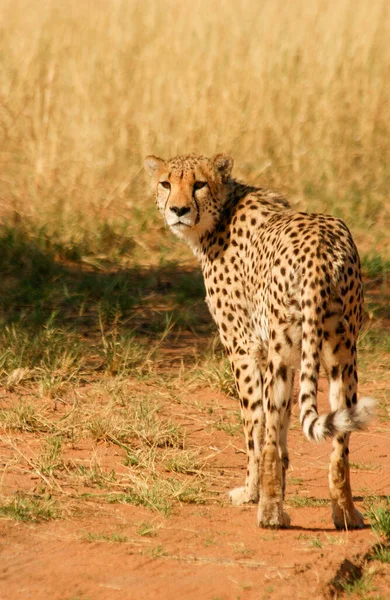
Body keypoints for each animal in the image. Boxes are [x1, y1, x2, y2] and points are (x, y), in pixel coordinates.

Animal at [144, 152, 374, 528]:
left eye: (199, 184)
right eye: (166, 183)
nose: (178, 209)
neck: (221, 213)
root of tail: (321, 246)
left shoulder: (245, 349)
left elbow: (256, 427)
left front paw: (253, 491)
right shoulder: (291, 356)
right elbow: (280, 432)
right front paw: (279, 482)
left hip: (283, 353)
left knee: (265, 432)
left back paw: (268, 513)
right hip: (342, 354)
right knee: (341, 441)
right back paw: (345, 513)